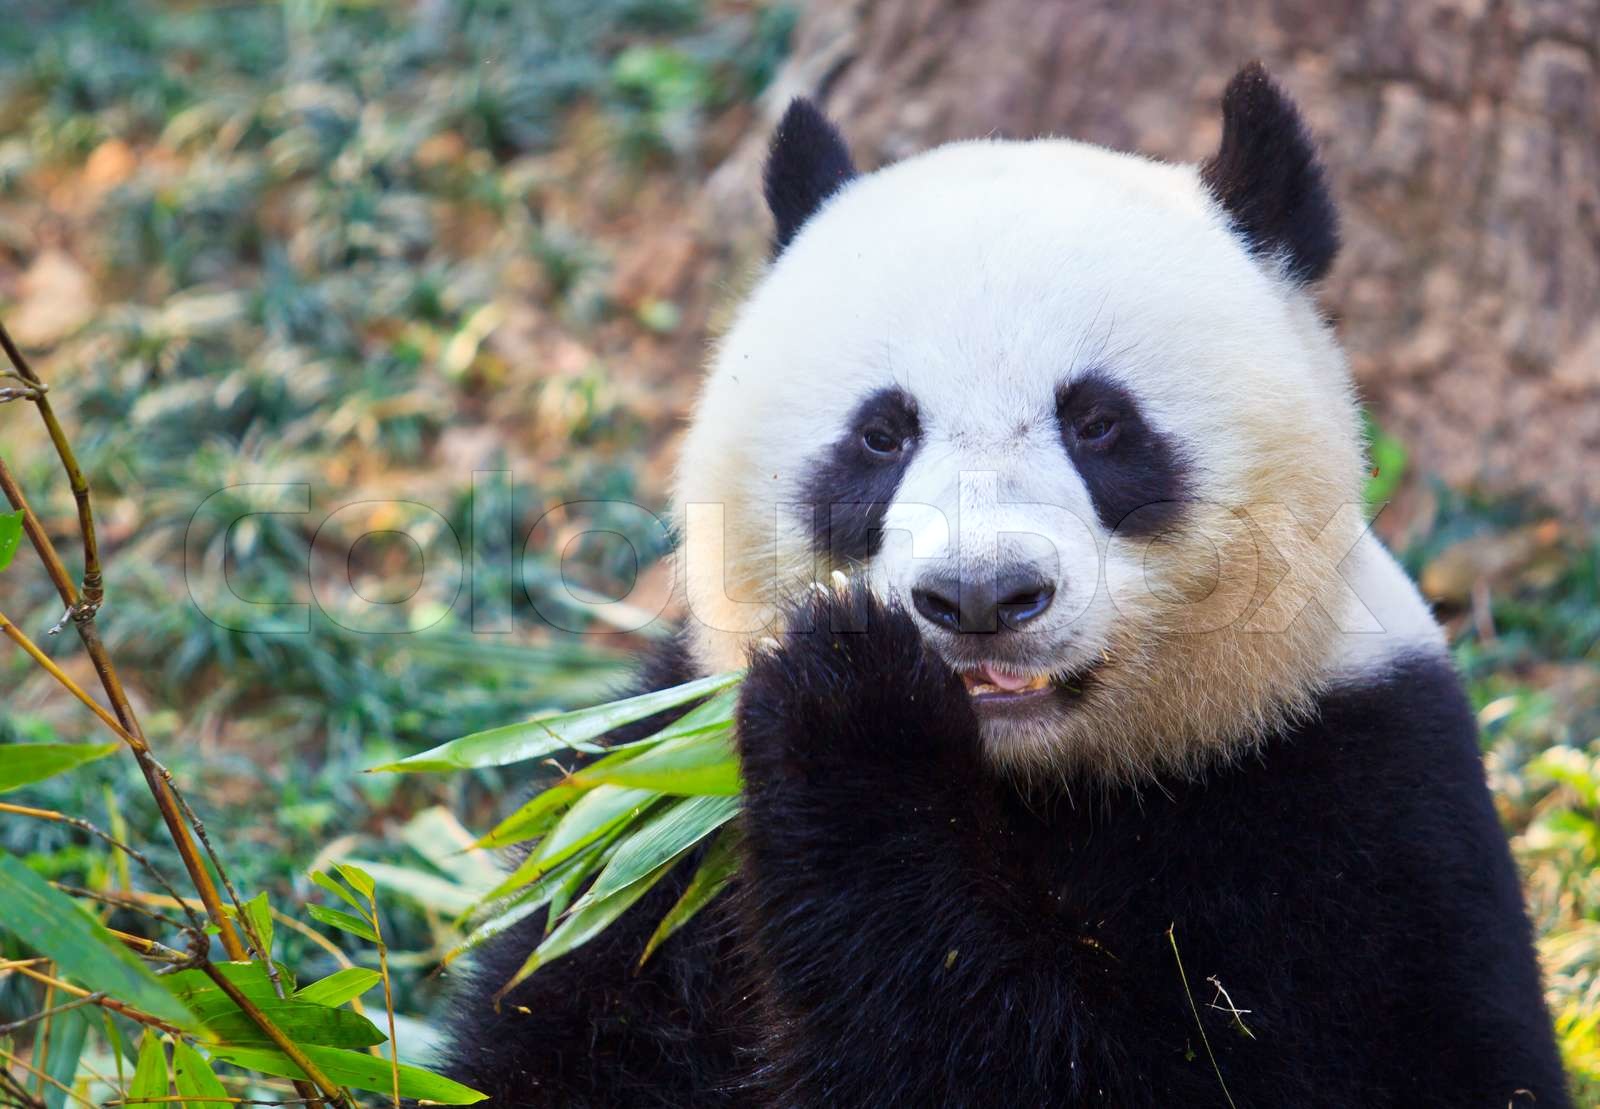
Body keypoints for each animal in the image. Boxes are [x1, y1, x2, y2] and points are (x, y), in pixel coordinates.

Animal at [439, 63, 1571, 1107]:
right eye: (881, 433)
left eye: (1100, 423)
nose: (981, 596)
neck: (1037, 778)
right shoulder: (657, 824)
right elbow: (560, 1032)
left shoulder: (1359, 808)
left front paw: (854, 710)